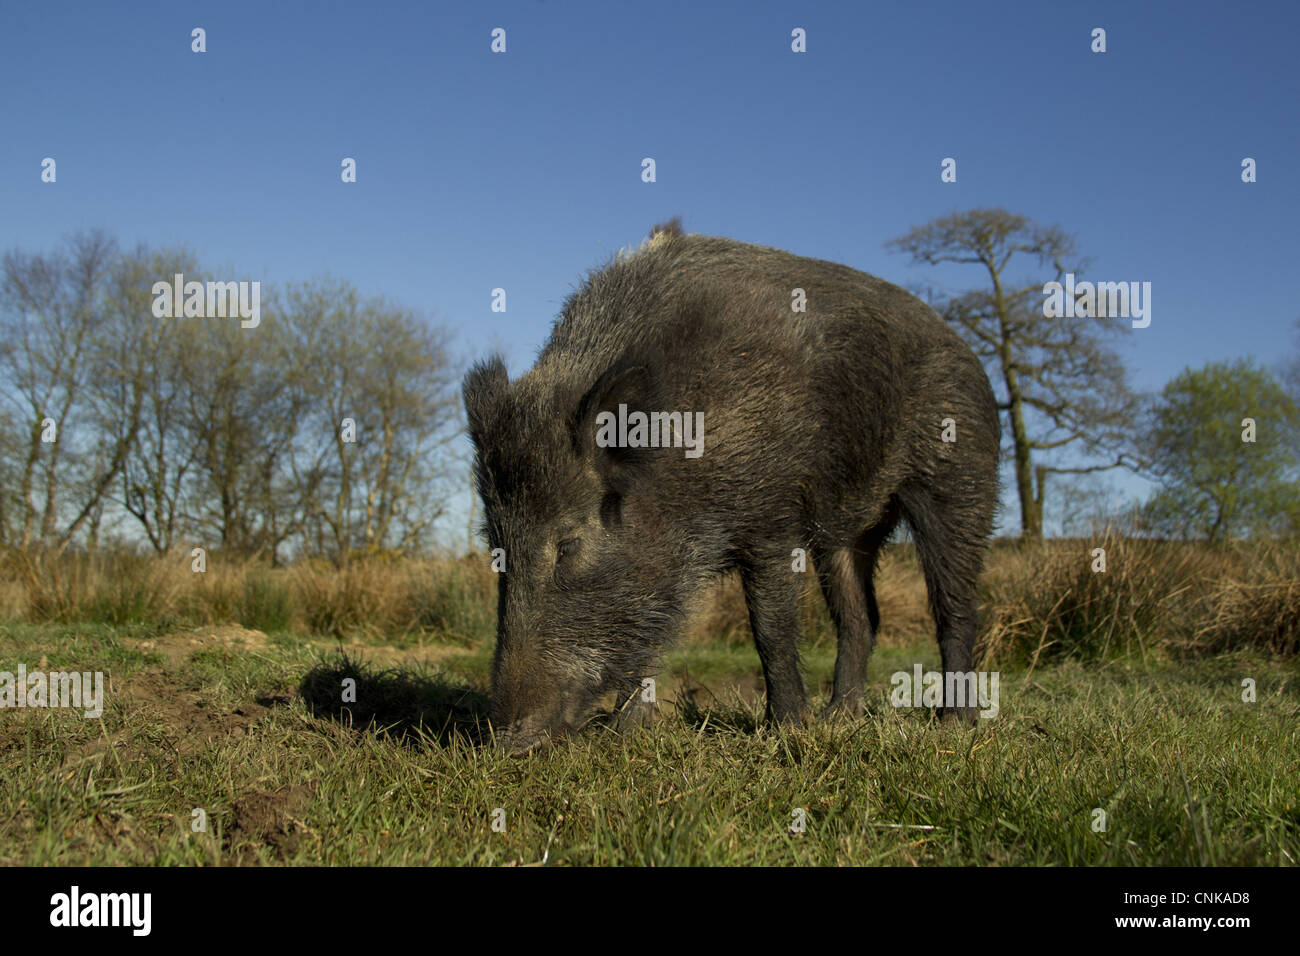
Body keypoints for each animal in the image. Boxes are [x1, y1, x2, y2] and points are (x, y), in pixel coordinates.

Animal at [464, 219, 1000, 753]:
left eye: (568, 545)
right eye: (495, 544)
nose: (504, 741)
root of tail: (966, 349)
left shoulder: (774, 515)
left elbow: (770, 626)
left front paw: (787, 728)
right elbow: (653, 630)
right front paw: (622, 735)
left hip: (961, 478)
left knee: (955, 607)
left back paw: (954, 724)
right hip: (848, 531)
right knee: (861, 617)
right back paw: (838, 717)